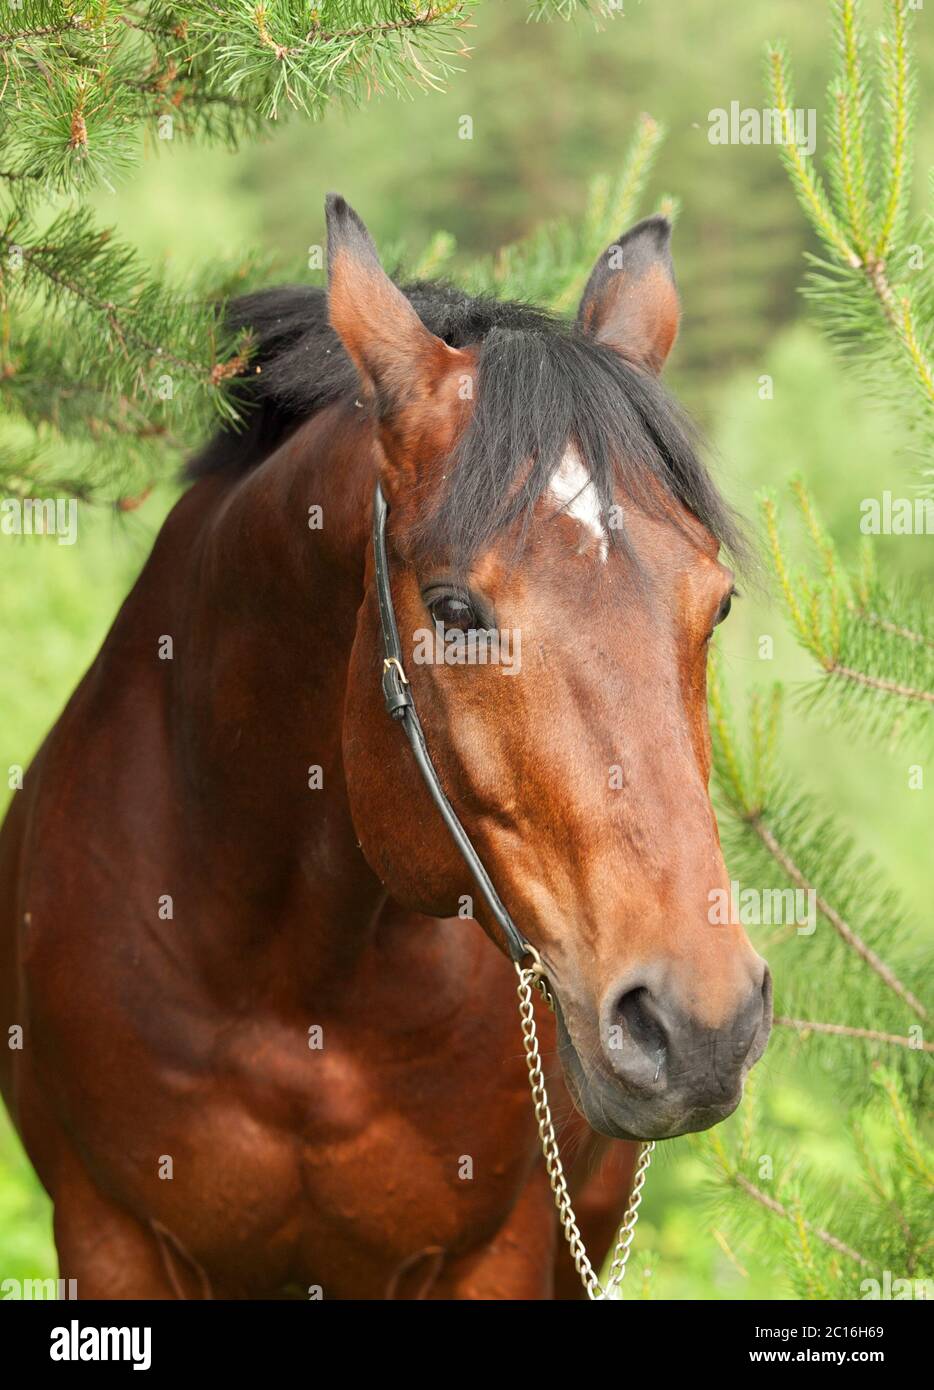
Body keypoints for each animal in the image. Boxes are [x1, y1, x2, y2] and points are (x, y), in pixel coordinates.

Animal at [0, 195, 772, 1300]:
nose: (702, 1023)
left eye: (717, 605)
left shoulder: (496, 1252)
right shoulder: (109, 1241)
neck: (293, 984)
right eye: (452, 610)